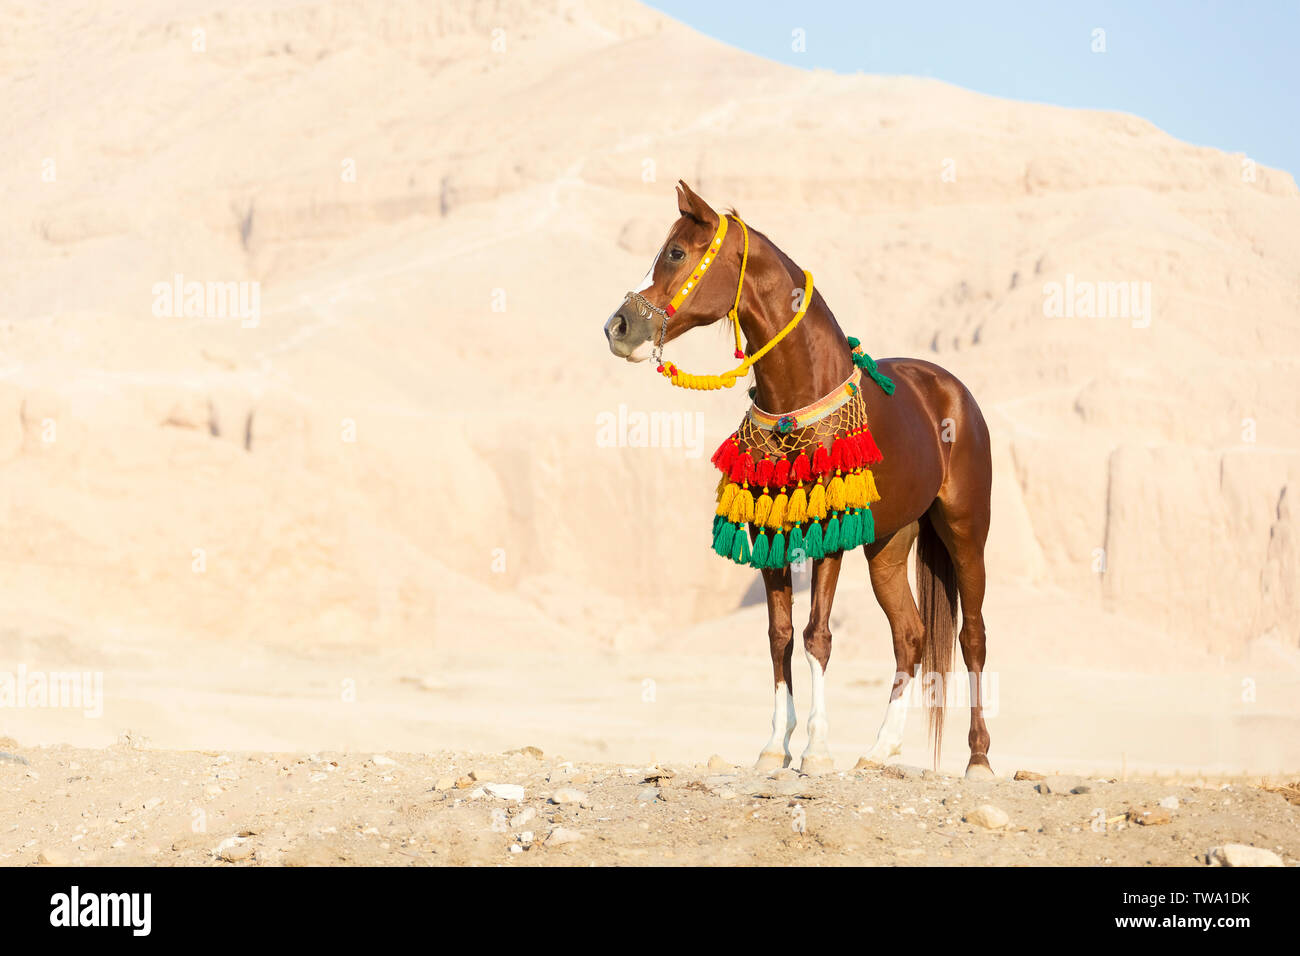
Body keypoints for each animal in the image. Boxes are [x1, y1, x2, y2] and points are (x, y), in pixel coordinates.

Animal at [603, 181, 994, 779]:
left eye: (675, 252)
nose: (619, 328)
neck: (799, 396)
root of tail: (952, 394)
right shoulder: (770, 533)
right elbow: (779, 635)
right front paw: (773, 746)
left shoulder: (827, 532)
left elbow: (817, 636)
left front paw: (816, 749)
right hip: (887, 543)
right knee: (909, 634)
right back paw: (880, 748)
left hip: (965, 532)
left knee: (971, 636)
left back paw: (977, 758)